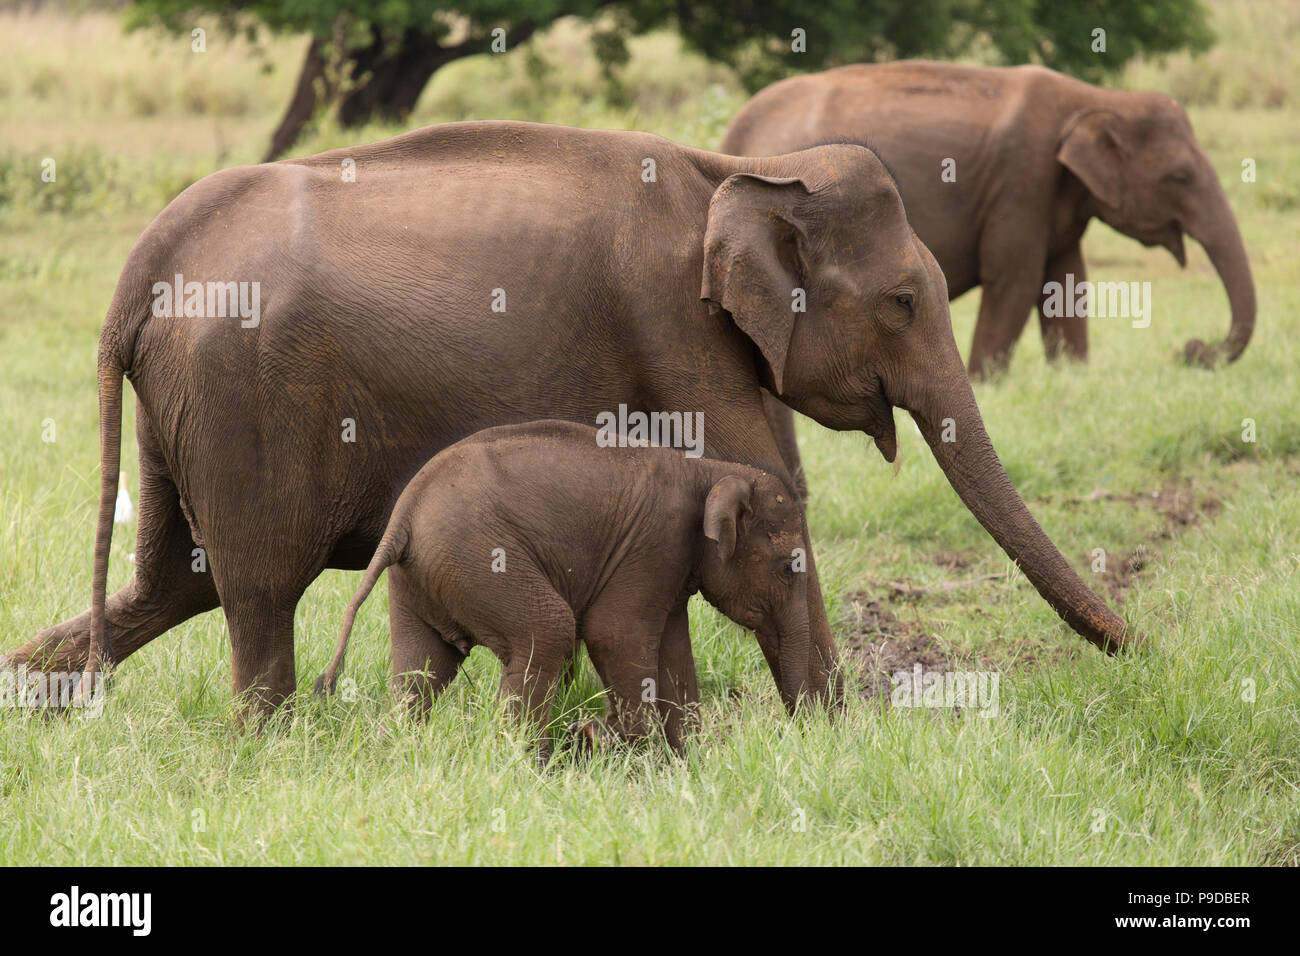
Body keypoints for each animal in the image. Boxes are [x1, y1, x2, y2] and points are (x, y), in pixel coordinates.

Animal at [6, 120, 1135, 719]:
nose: (1138, 650)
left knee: (169, 585)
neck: (733, 174)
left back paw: (35, 698)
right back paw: (268, 743)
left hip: (184, 408)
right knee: (253, 590)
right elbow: (776, 485)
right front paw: (832, 733)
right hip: (244, 398)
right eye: (903, 302)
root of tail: (143, 266)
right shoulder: (674, 324)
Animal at [316, 420, 813, 755]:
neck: (711, 470)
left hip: (422, 576)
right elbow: (614, 634)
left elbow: (672, 654)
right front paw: (621, 748)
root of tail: (405, 512)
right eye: (789, 568)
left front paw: (687, 760)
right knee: (546, 630)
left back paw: (397, 750)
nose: (804, 733)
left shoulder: (669, 562)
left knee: (421, 668)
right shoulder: (657, 542)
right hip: (477, 556)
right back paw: (524, 764)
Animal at [721, 61, 1256, 380]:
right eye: (1180, 177)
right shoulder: (1021, 181)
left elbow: (1065, 285)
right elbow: (1015, 282)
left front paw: (1070, 377)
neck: (1098, 98)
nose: (1192, 348)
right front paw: (987, 383)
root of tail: (736, 125)